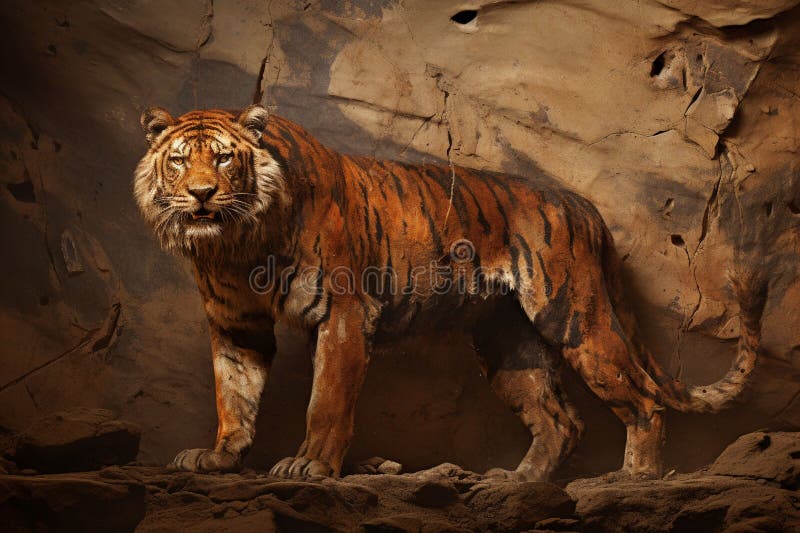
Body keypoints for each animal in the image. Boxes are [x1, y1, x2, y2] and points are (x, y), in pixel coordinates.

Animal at [134, 104, 767, 481]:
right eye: (178, 161)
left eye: (223, 158)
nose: (202, 195)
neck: (237, 243)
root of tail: (582, 205)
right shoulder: (236, 325)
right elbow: (233, 397)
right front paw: (218, 457)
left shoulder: (344, 312)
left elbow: (327, 401)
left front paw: (309, 465)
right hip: (510, 346)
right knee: (560, 421)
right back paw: (517, 483)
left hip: (573, 317)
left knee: (643, 401)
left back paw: (634, 477)